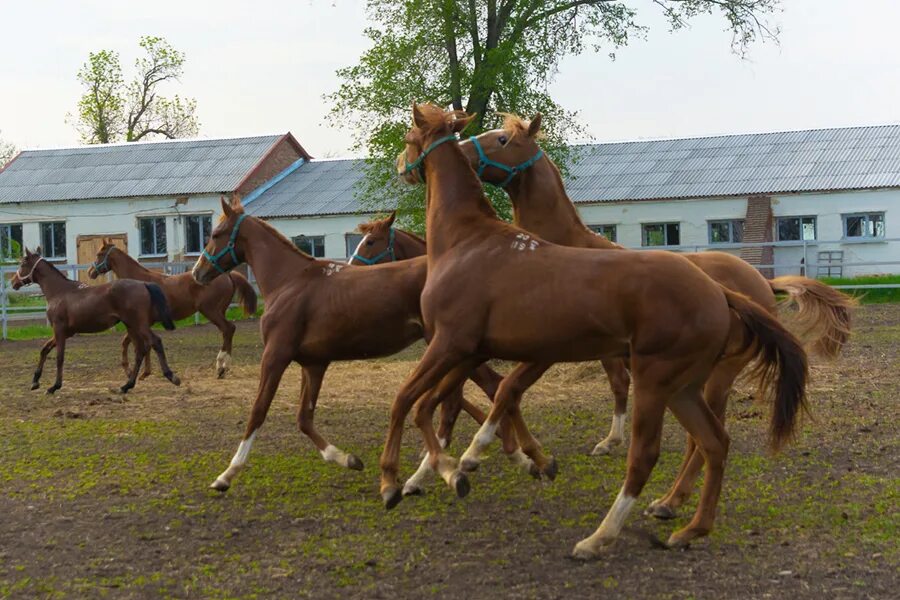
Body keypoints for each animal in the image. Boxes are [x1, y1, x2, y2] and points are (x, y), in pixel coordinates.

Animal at [11, 247, 181, 394]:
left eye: (23, 263)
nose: (13, 282)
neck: (59, 292)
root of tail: (144, 284)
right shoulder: (65, 332)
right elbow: (44, 349)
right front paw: (35, 382)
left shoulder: (59, 330)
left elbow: (59, 357)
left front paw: (54, 386)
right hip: (132, 326)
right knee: (140, 350)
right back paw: (126, 385)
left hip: (139, 325)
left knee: (155, 342)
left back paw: (171, 377)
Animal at [193, 199, 524, 494]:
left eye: (216, 234)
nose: (198, 272)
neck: (289, 282)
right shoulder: (313, 364)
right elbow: (304, 418)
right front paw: (348, 459)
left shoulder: (276, 355)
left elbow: (258, 411)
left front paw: (226, 474)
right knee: (477, 394)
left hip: (449, 348)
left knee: (481, 392)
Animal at [380, 104, 808, 556]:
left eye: (503, 139)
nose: (401, 166)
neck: (468, 242)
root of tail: (722, 291)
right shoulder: (471, 351)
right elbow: (443, 404)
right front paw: (455, 468)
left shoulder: (453, 344)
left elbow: (409, 400)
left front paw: (403, 478)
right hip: (683, 388)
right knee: (714, 442)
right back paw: (687, 524)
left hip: (659, 380)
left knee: (648, 455)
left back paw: (601, 536)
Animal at [454, 115, 856, 516]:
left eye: (502, 139)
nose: (460, 149)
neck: (565, 249)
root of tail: (760, 284)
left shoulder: (556, 348)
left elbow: (516, 388)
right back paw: (670, 499)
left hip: (718, 375)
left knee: (707, 436)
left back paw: (671, 501)